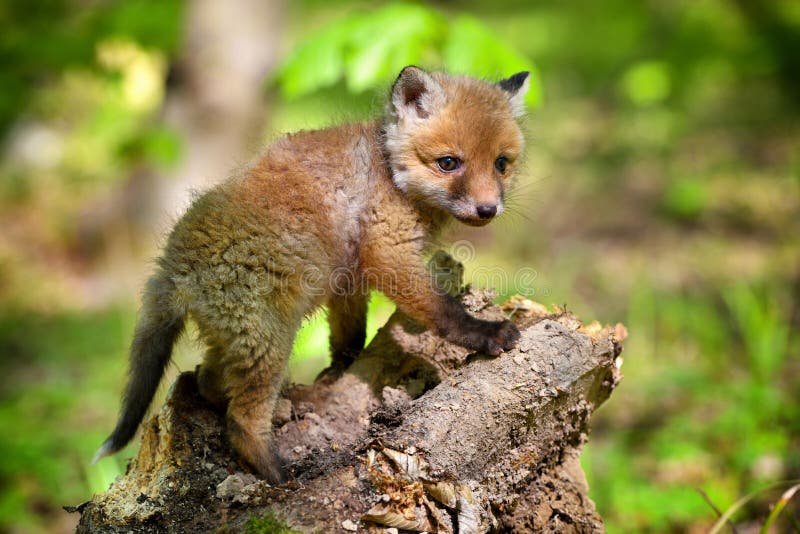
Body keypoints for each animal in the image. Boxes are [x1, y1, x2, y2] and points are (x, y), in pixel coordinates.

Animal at [94, 66, 530, 483]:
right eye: (448, 163)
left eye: (501, 164)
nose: (488, 209)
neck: (388, 172)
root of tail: (170, 266)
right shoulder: (387, 253)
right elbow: (443, 311)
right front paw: (485, 333)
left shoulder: (349, 276)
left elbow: (349, 337)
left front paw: (337, 374)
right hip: (270, 340)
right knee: (239, 421)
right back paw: (278, 474)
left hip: (240, 337)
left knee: (208, 380)